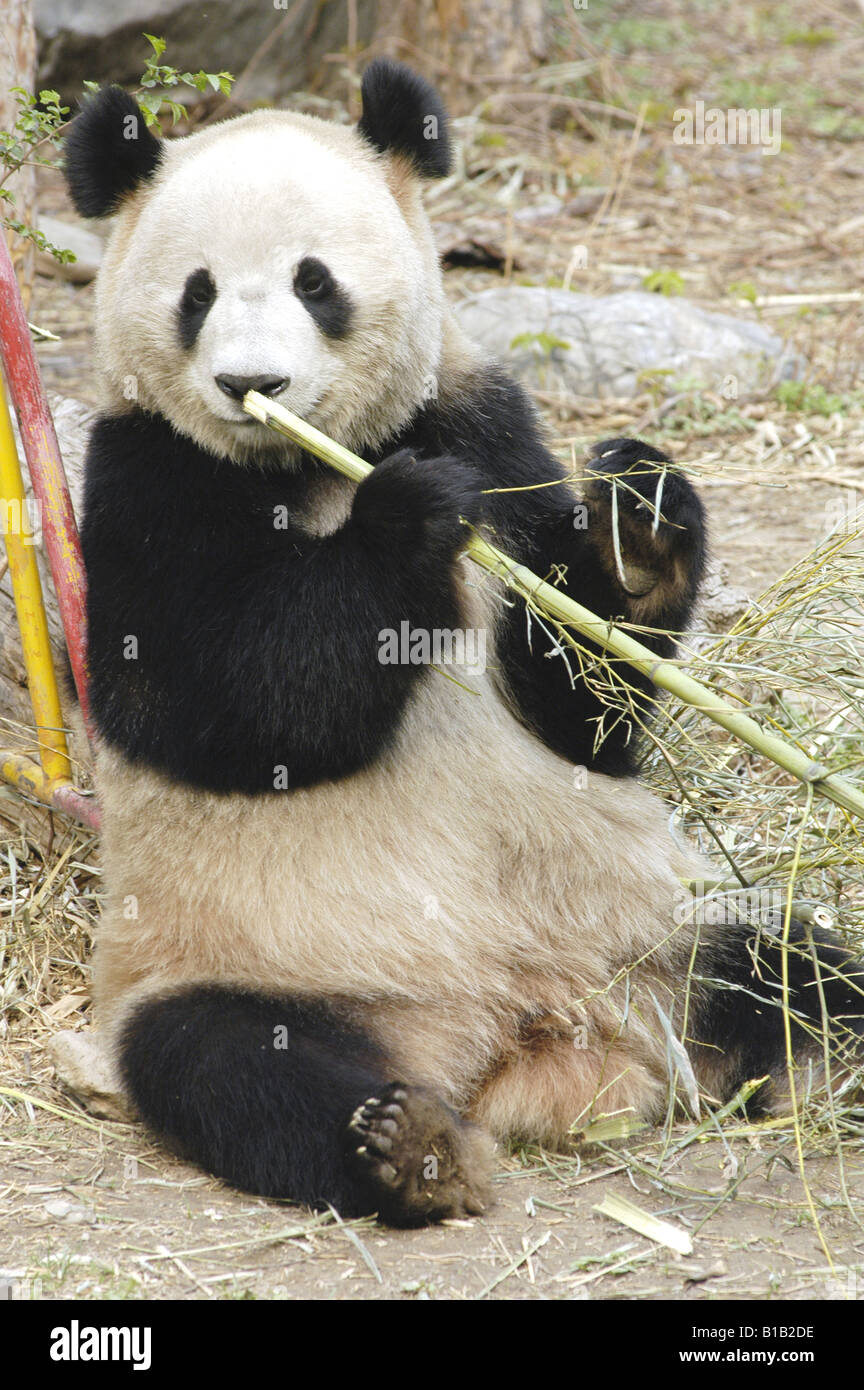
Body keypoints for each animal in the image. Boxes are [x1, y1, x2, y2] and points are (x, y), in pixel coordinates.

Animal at [58, 60, 863, 1226]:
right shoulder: (142, 474)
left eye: (313, 282)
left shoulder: (482, 423)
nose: (252, 386)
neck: (314, 462)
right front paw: (404, 521)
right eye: (196, 293)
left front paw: (639, 521)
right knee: (230, 1063)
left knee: (783, 966)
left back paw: (824, 1054)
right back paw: (411, 1145)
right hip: (232, 959)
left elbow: (584, 708)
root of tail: (519, 1041)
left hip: (645, 935)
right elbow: (215, 705)